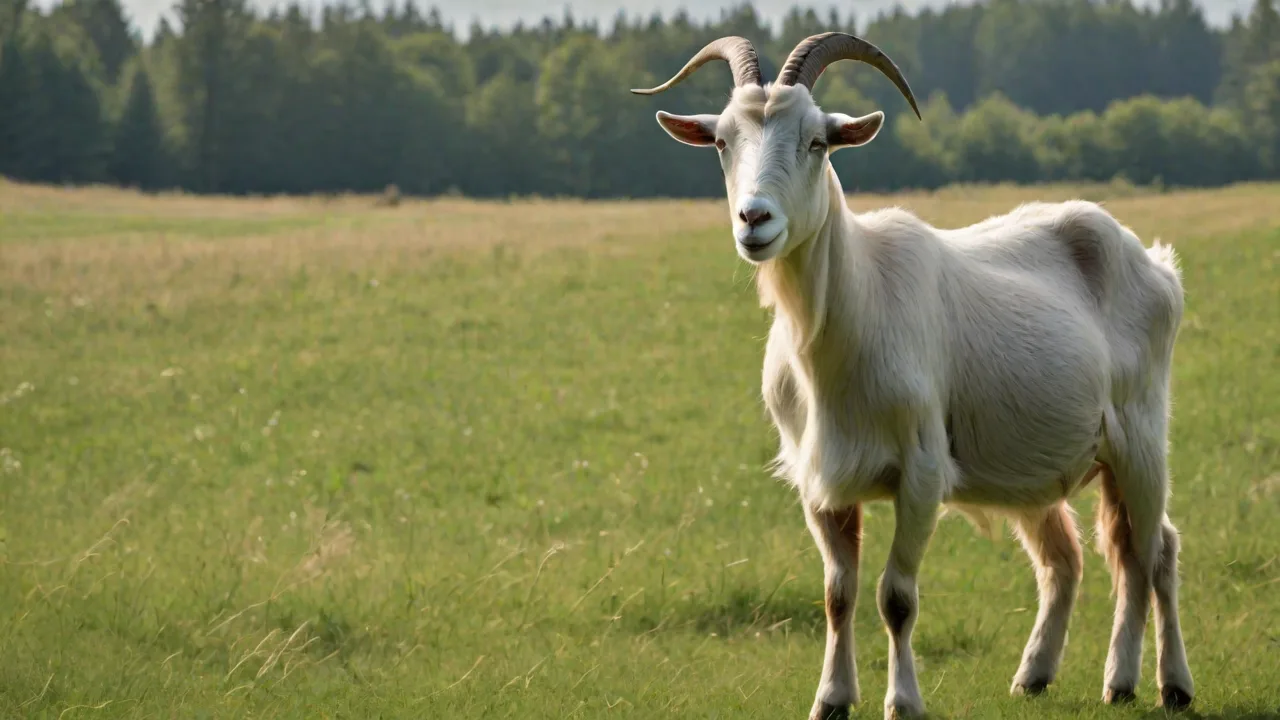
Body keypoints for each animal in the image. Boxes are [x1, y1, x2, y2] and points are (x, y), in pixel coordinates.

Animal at [631, 33, 1194, 720]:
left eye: (817, 141)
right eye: (720, 141)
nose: (754, 220)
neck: (847, 322)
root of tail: (1154, 263)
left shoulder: (922, 470)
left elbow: (896, 597)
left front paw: (902, 702)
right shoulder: (819, 482)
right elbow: (838, 595)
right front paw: (831, 699)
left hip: (1140, 433)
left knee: (1155, 549)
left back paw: (1162, 682)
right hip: (1033, 461)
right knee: (1077, 556)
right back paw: (1059, 676)